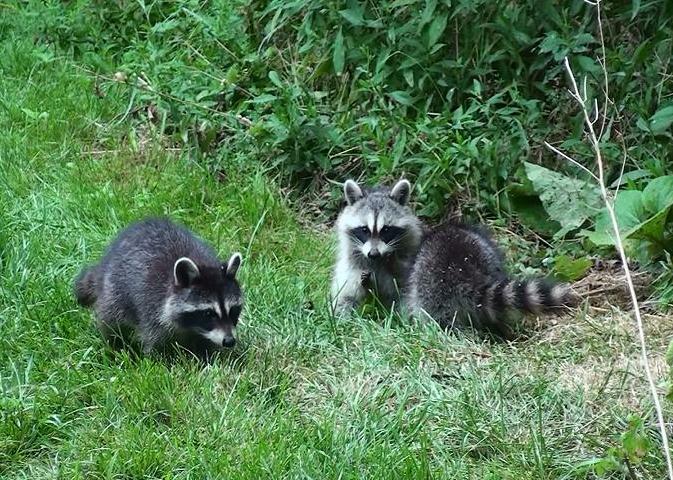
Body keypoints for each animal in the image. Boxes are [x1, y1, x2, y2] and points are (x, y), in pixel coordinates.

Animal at [74, 218, 243, 356]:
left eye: (233, 310)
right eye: (208, 313)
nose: (229, 341)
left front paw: (208, 356)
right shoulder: (151, 305)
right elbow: (153, 342)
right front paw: (157, 359)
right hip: (115, 289)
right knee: (111, 320)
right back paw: (114, 347)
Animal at [330, 178, 424, 313]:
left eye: (385, 230)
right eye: (364, 230)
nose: (373, 254)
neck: (378, 260)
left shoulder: (408, 253)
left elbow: (399, 282)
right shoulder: (353, 262)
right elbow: (347, 292)